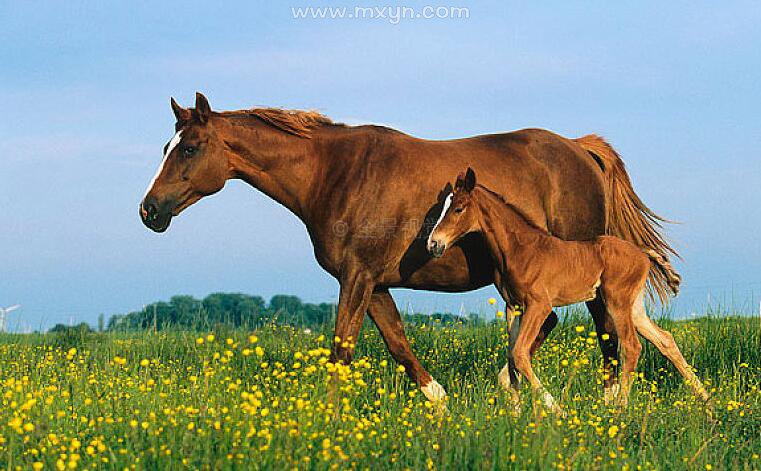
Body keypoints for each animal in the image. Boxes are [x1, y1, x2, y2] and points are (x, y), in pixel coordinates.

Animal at [140, 94, 672, 404]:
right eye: (166, 146)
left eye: (188, 148)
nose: (149, 210)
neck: (335, 172)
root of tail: (580, 148)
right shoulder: (373, 283)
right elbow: (397, 343)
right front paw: (439, 401)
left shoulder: (357, 278)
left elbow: (342, 349)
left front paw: (328, 418)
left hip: (591, 280)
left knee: (609, 337)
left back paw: (606, 406)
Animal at [428, 170, 708, 410]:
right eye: (443, 208)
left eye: (458, 208)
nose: (433, 243)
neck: (520, 249)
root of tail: (642, 252)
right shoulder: (513, 307)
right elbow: (511, 356)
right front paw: (515, 414)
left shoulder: (540, 306)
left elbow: (519, 354)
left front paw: (555, 409)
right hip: (633, 306)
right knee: (664, 339)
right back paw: (706, 400)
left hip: (616, 301)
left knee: (632, 345)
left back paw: (621, 408)